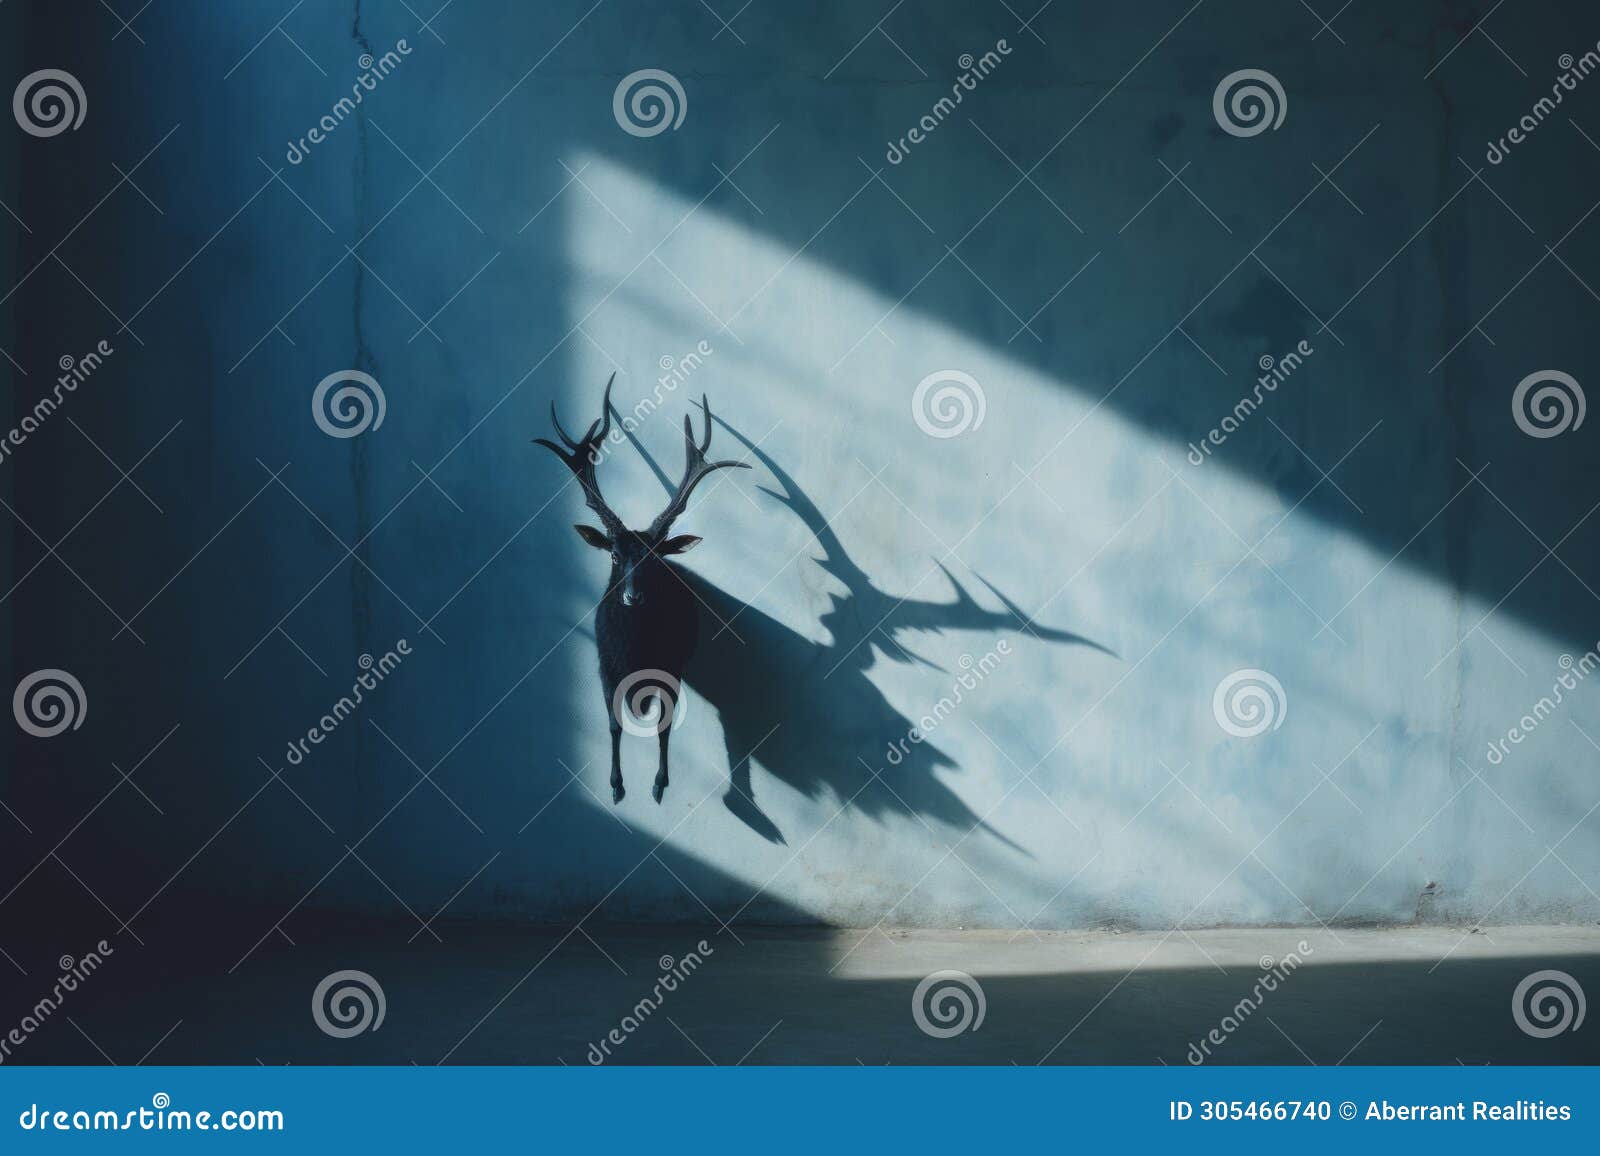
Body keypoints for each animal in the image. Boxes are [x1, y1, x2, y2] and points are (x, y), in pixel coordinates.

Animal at [535, 374, 749, 805]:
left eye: (655, 558)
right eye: (615, 555)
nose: (632, 596)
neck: (636, 652)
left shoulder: (674, 666)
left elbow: (664, 725)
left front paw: (659, 783)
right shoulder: (604, 665)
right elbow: (614, 724)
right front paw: (616, 785)